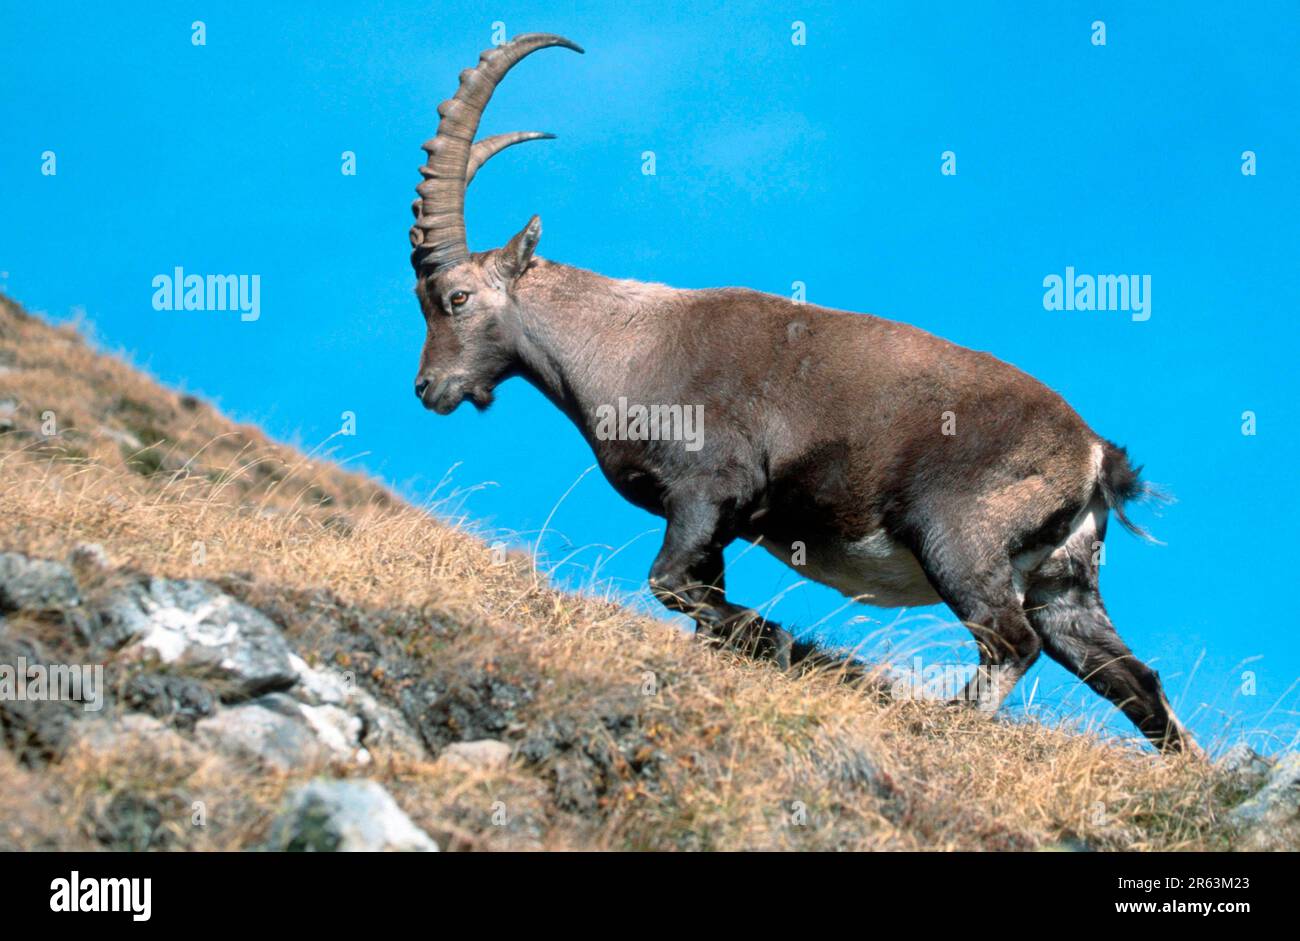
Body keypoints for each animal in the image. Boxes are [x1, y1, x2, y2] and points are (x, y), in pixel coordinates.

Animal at [406, 33, 1196, 753]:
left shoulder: (709, 492)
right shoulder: (711, 525)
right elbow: (695, 594)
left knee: (1011, 640)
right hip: (1065, 582)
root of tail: (1095, 456)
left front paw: (776, 638)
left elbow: (670, 583)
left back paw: (946, 721)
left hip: (958, 539)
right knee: (1133, 679)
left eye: (455, 297)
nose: (428, 388)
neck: (626, 343)